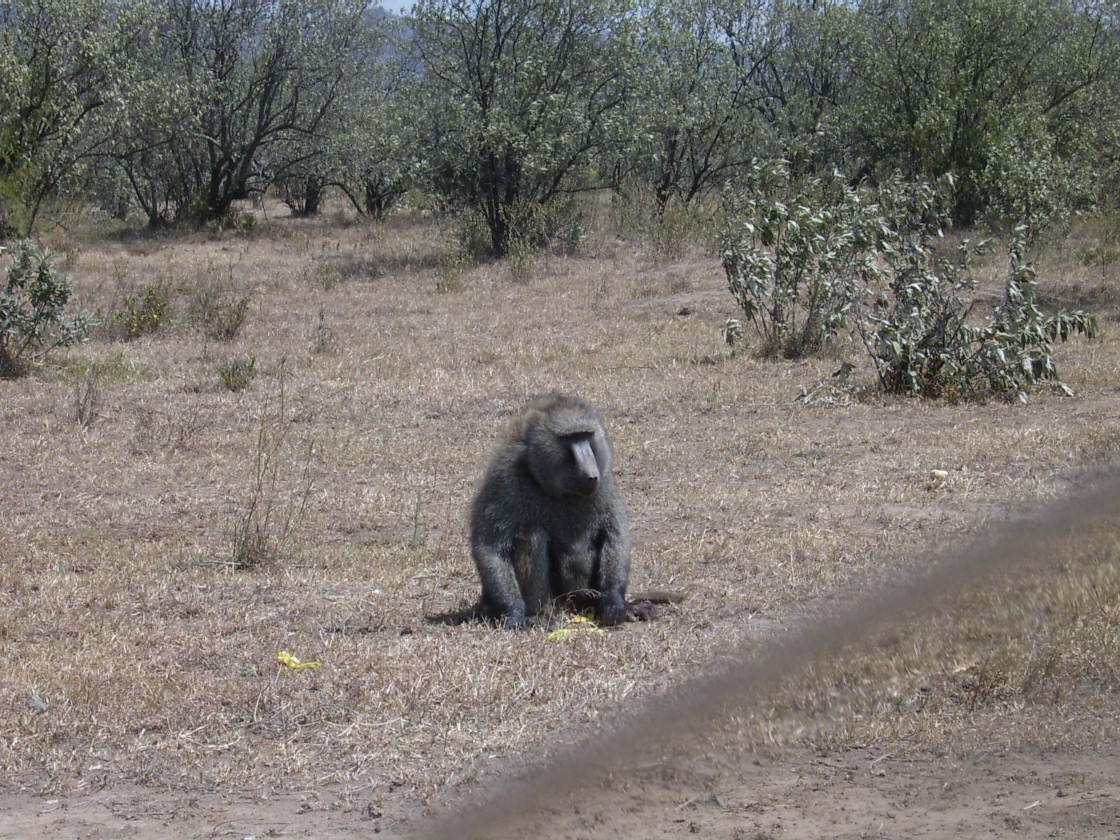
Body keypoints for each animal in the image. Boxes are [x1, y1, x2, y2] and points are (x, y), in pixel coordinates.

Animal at [470, 394, 631, 629]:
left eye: (585, 435)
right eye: (570, 438)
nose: (590, 475)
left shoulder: (604, 480)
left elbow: (615, 536)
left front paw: (613, 603)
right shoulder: (504, 476)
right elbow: (490, 548)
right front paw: (515, 613)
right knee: (532, 534)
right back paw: (539, 615)